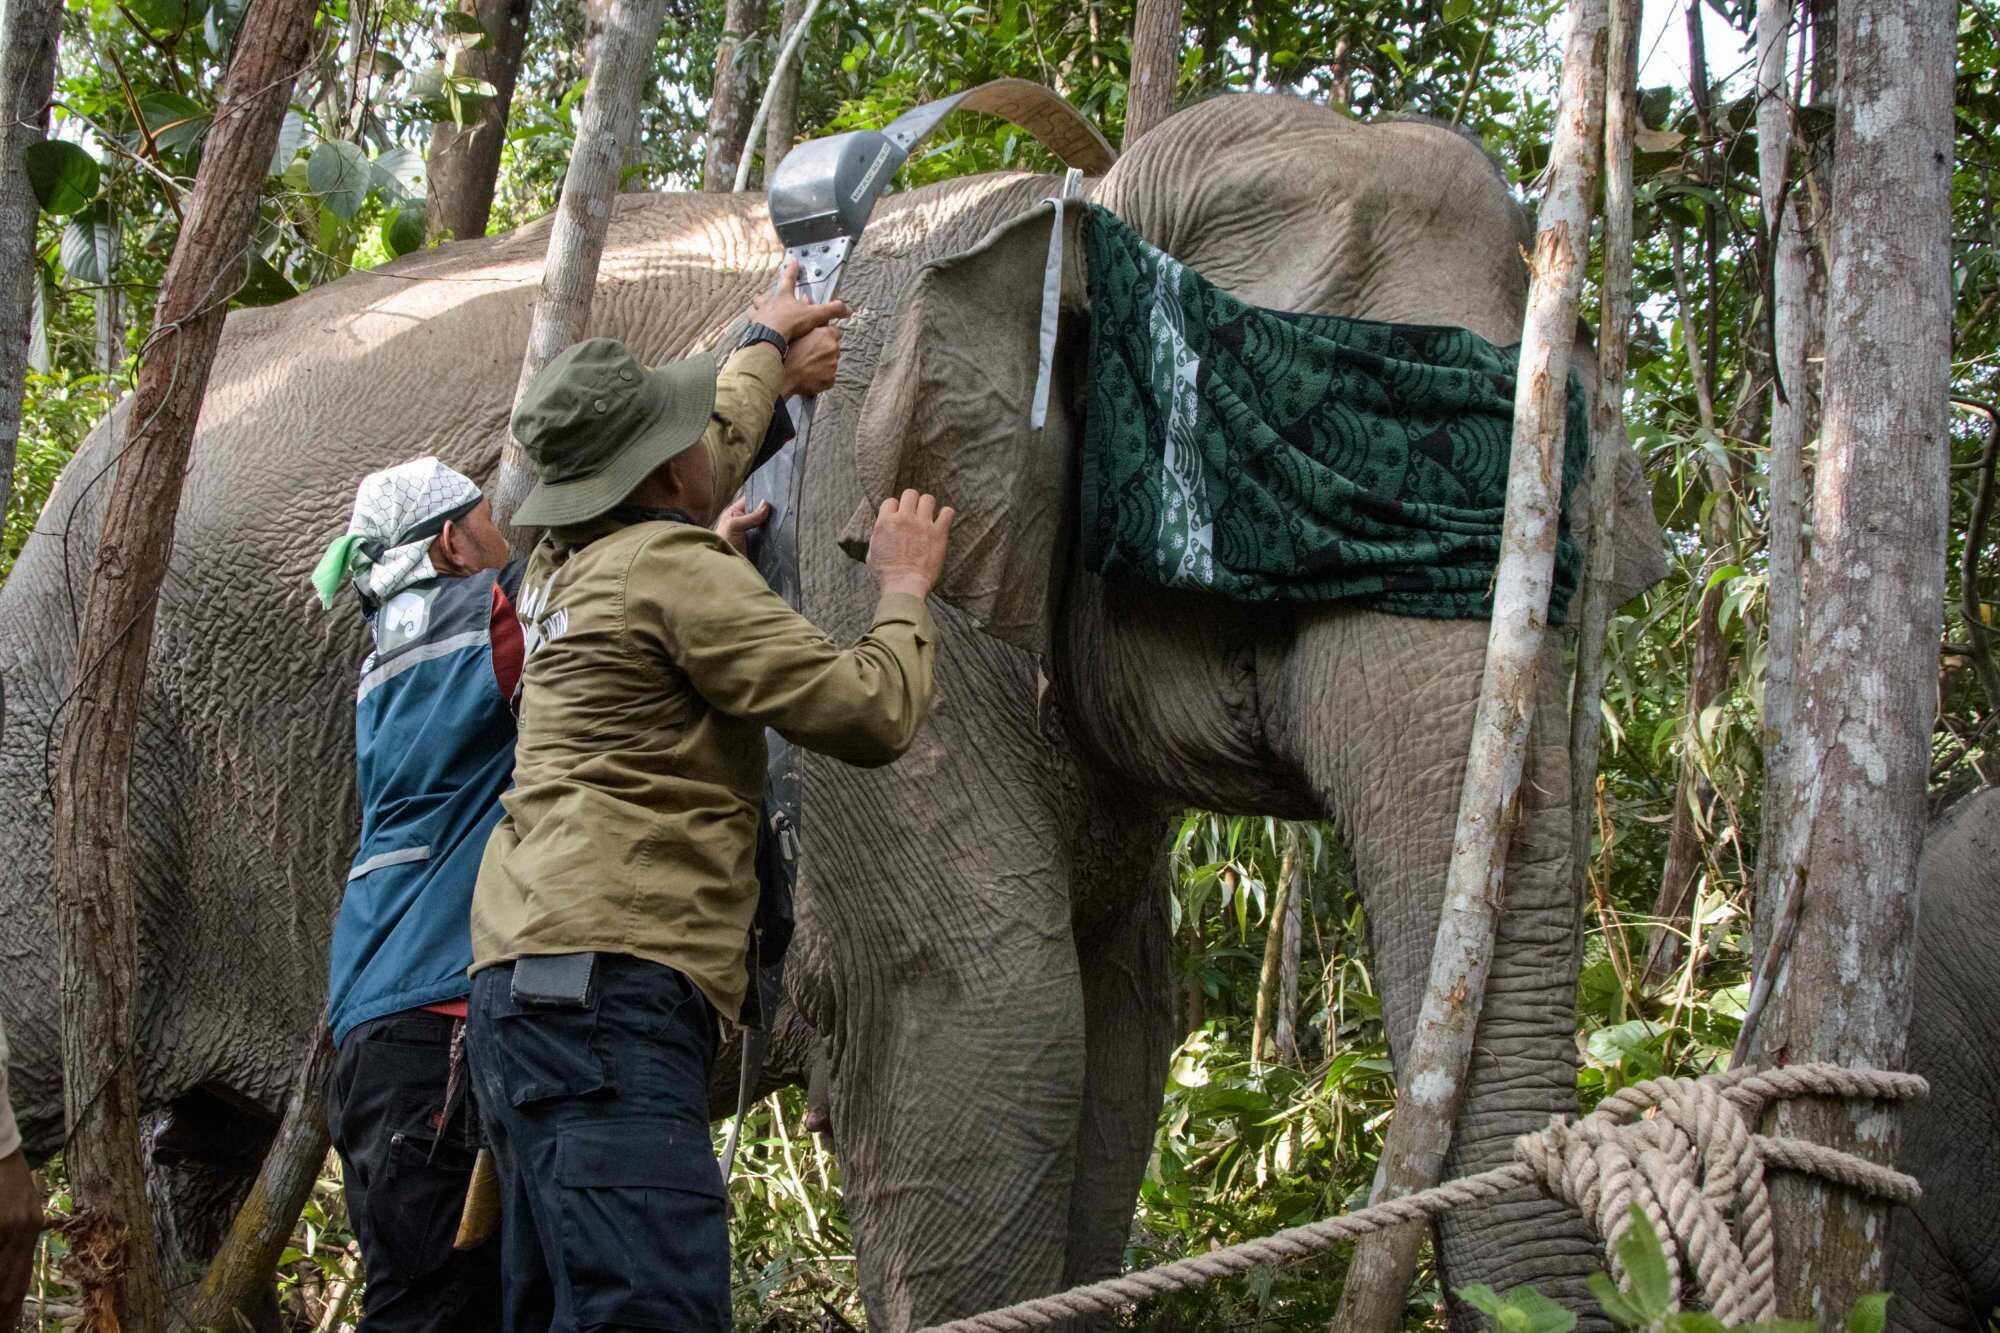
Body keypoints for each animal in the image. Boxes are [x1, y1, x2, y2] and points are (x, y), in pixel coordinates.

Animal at [0, 93, 1670, 1328]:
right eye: (1287, 493)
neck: (1073, 202)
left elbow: (1119, 1039)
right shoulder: (848, 562)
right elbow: (987, 1038)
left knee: (201, 1151)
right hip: (50, 734)